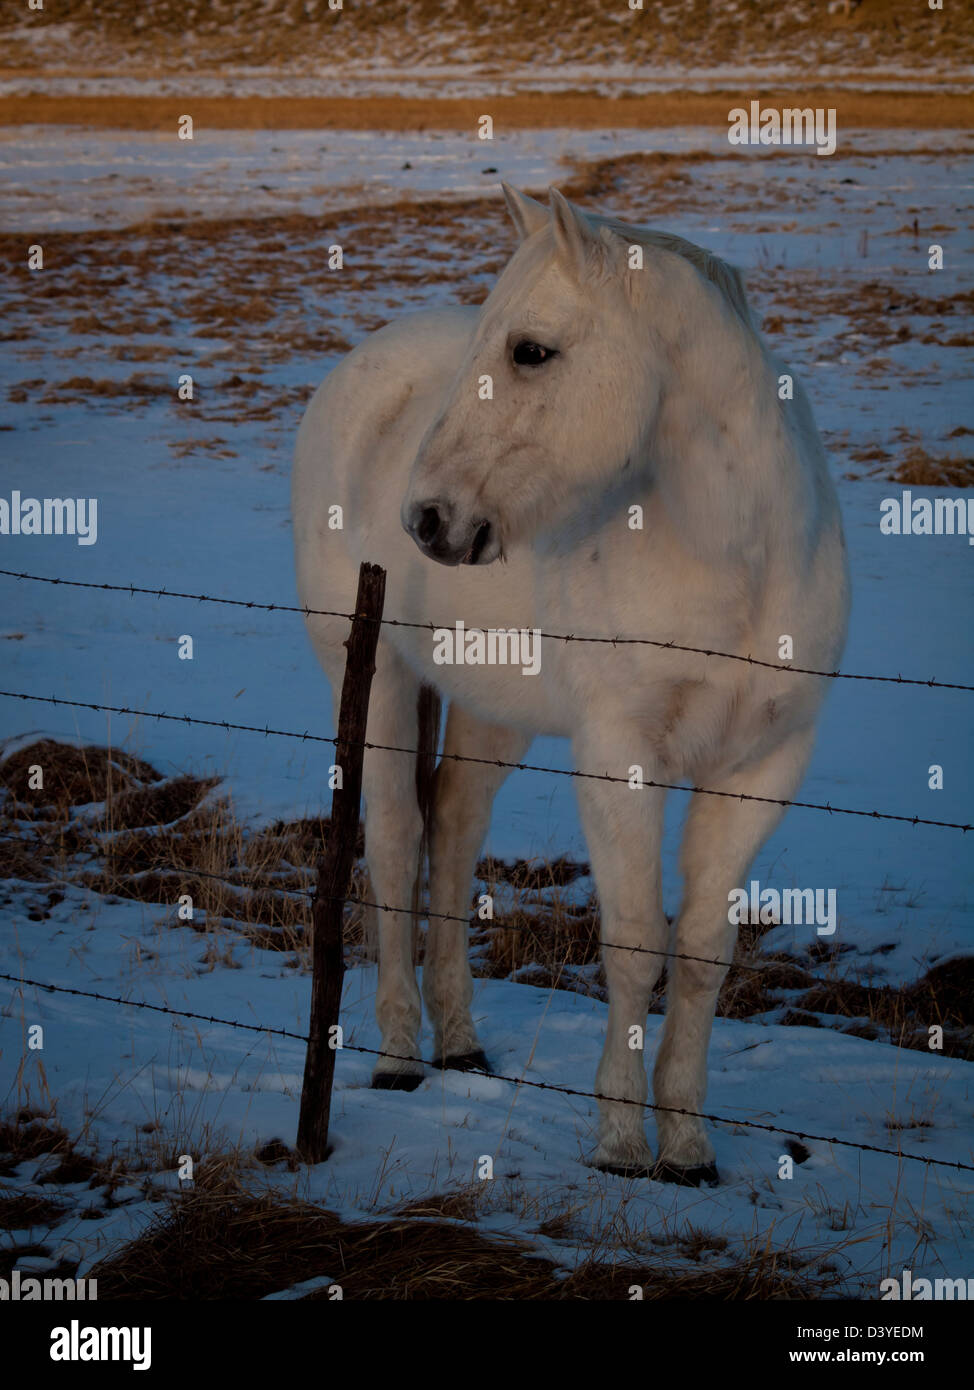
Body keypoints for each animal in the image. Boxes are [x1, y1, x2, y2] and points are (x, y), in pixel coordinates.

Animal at [291, 185, 849, 1185]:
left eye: (530, 350)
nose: (428, 519)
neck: (736, 563)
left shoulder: (762, 767)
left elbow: (702, 955)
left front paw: (689, 1149)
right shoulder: (621, 758)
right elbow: (632, 945)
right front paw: (623, 1144)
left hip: (491, 713)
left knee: (453, 832)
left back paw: (462, 1044)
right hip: (377, 680)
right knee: (394, 842)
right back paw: (399, 1058)